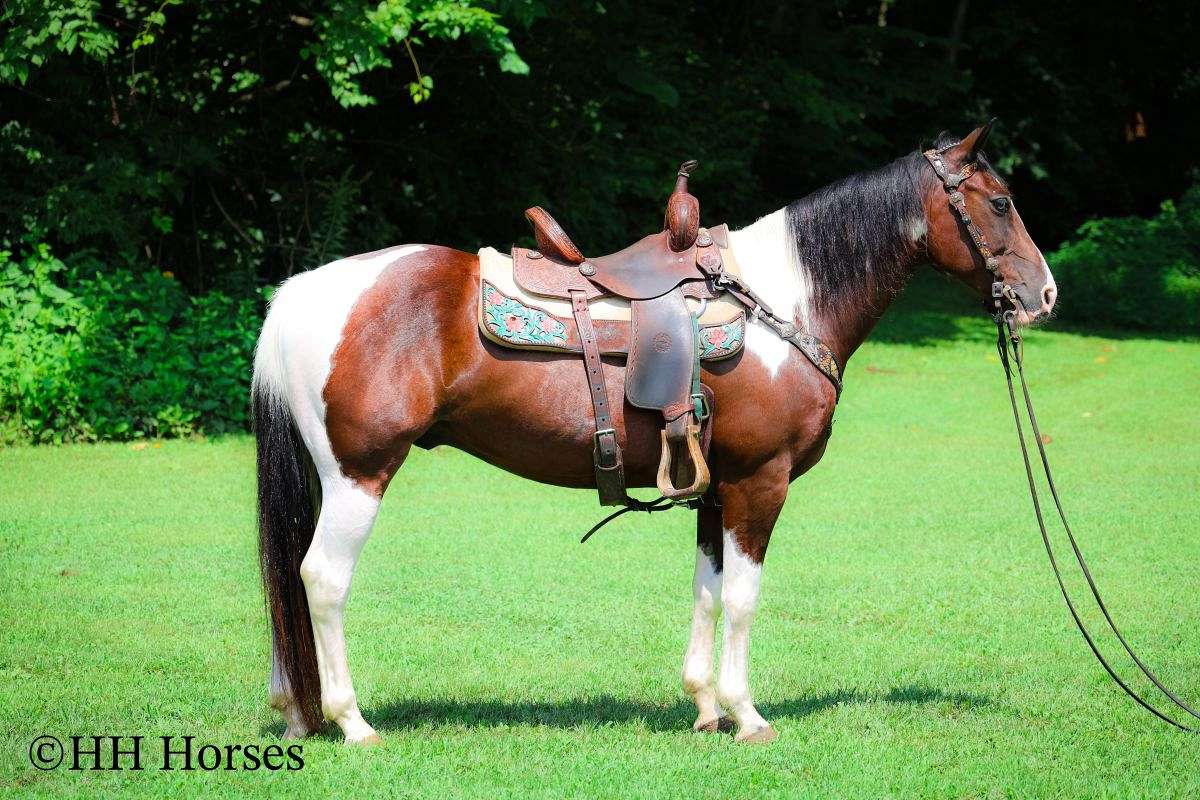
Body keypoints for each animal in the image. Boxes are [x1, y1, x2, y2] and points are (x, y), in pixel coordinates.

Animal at [253, 124, 1057, 745]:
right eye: (1000, 202)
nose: (1044, 295)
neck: (786, 302)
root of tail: (300, 294)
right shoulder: (760, 481)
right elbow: (744, 598)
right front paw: (746, 714)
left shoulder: (715, 487)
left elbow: (707, 589)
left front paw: (704, 707)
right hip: (359, 475)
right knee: (322, 578)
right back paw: (351, 721)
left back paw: (296, 712)